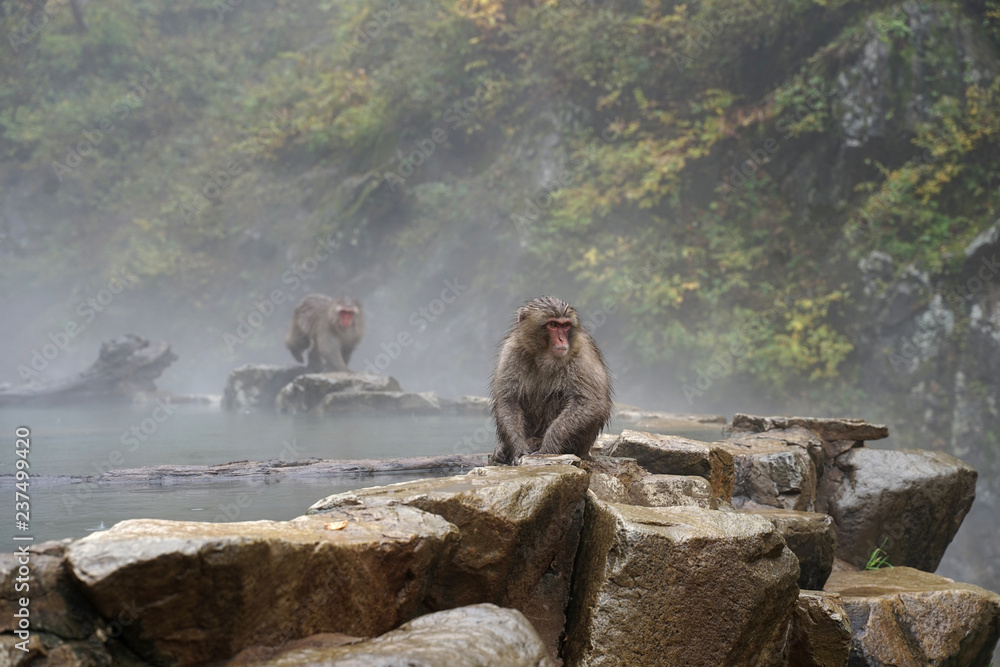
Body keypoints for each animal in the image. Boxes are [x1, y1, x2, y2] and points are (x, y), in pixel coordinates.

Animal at [489, 296, 613, 465]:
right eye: (553, 325)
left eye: (565, 325)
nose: (561, 339)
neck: (545, 356)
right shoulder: (511, 350)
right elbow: (508, 400)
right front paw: (518, 448)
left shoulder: (583, 354)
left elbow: (590, 403)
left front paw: (548, 447)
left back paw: (536, 442)